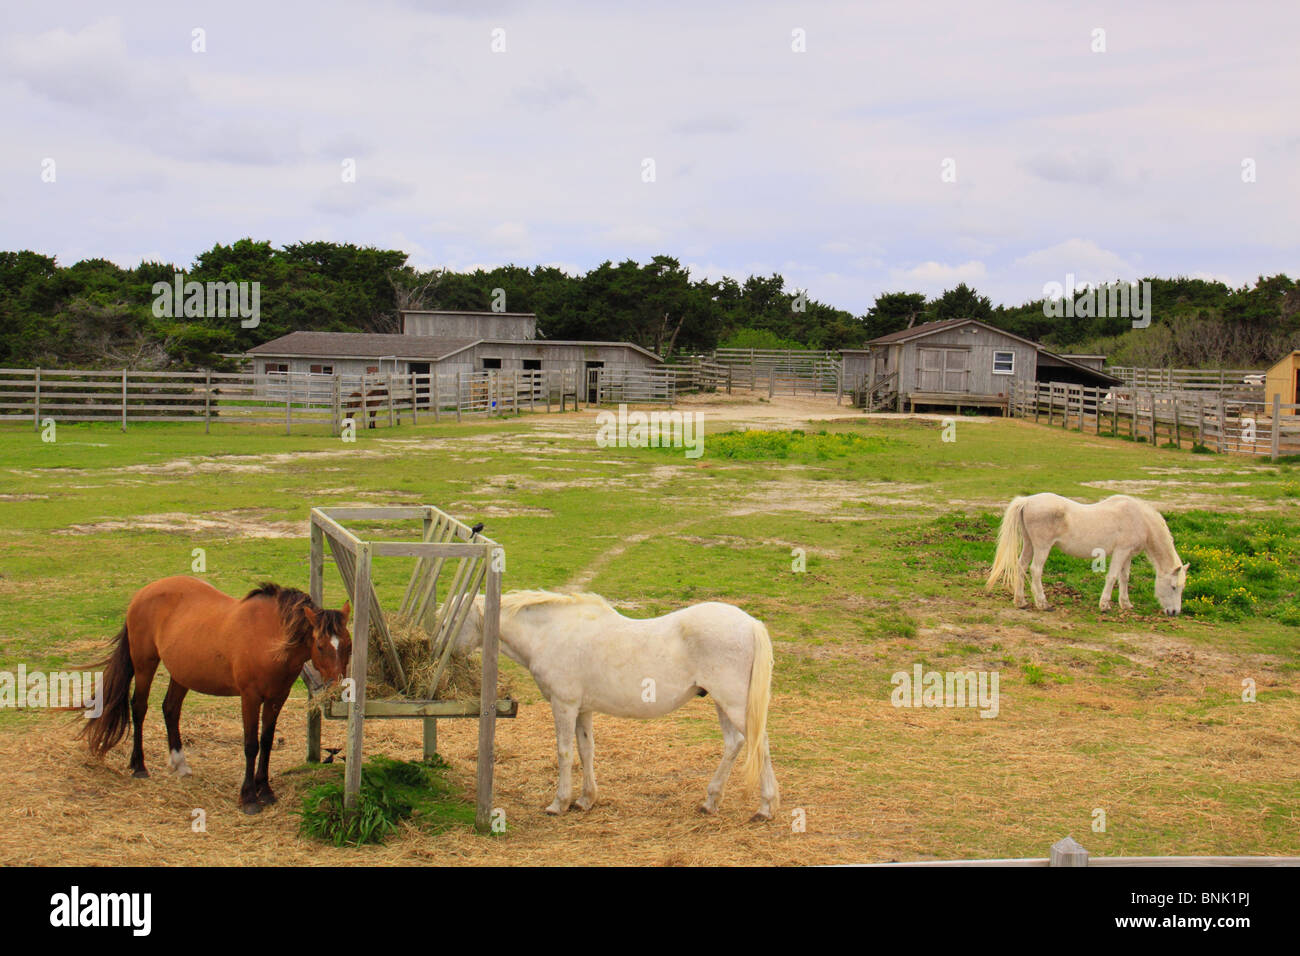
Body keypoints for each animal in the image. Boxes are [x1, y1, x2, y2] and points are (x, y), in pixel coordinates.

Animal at [83, 574, 353, 816]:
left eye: (349, 645)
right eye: (320, 646)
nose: (339, 688)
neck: (270, 637)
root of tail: (143, 593)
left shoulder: (277, 698)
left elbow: (266, 742)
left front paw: (265, 790)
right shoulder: (250, 697)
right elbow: (251, 745)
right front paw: (249, 797)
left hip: (182, 673)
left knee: (170, 709)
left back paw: (179, 763)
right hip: (144, 663)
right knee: (139, 708)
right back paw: (139, 766)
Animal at [454, 590, 780, 822]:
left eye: (455, 615)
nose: (441, 648)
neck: (553, 633)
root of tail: (750, 624)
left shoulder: (564, 705)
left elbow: (564, 752)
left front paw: (559, 803)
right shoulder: (582, 709)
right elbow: (586, 750)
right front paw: (585, 800)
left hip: (733, 702)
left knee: (759, 742)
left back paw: (765, 808)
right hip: (722, 702)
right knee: (735, 743)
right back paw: (711, 802)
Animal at [982, 494, 1190, 613]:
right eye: (1173, 587)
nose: (1175, 612)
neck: (1139, 518)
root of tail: (1027, 501)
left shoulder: (1128, 554)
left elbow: (1124, 578)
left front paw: (1126, 604)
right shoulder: (1121, 551)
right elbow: (1112, 576)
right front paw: (1104, 605)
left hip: (1029, 544)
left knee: (1021, 567)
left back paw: (1021, 602)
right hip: (1042, 546)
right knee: (1035, 570)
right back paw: (1043, 603)